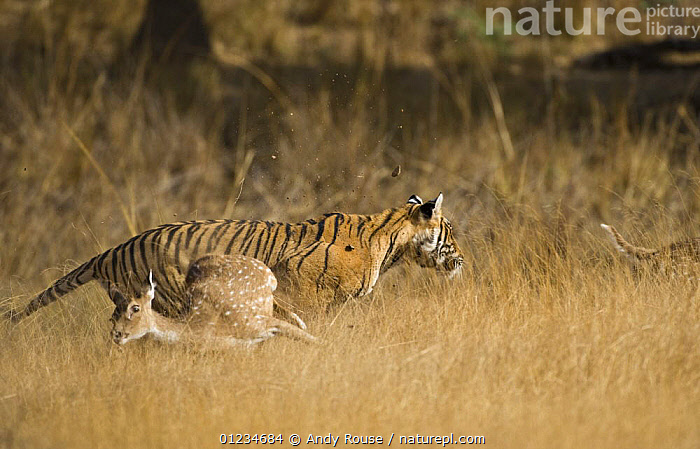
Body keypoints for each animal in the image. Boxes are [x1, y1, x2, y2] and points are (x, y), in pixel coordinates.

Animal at [9, 193, 463, 323]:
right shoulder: (298, 280)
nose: (462, 260)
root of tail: (111, 250)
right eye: (451, 235)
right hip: (174, 295)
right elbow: (302, 316)